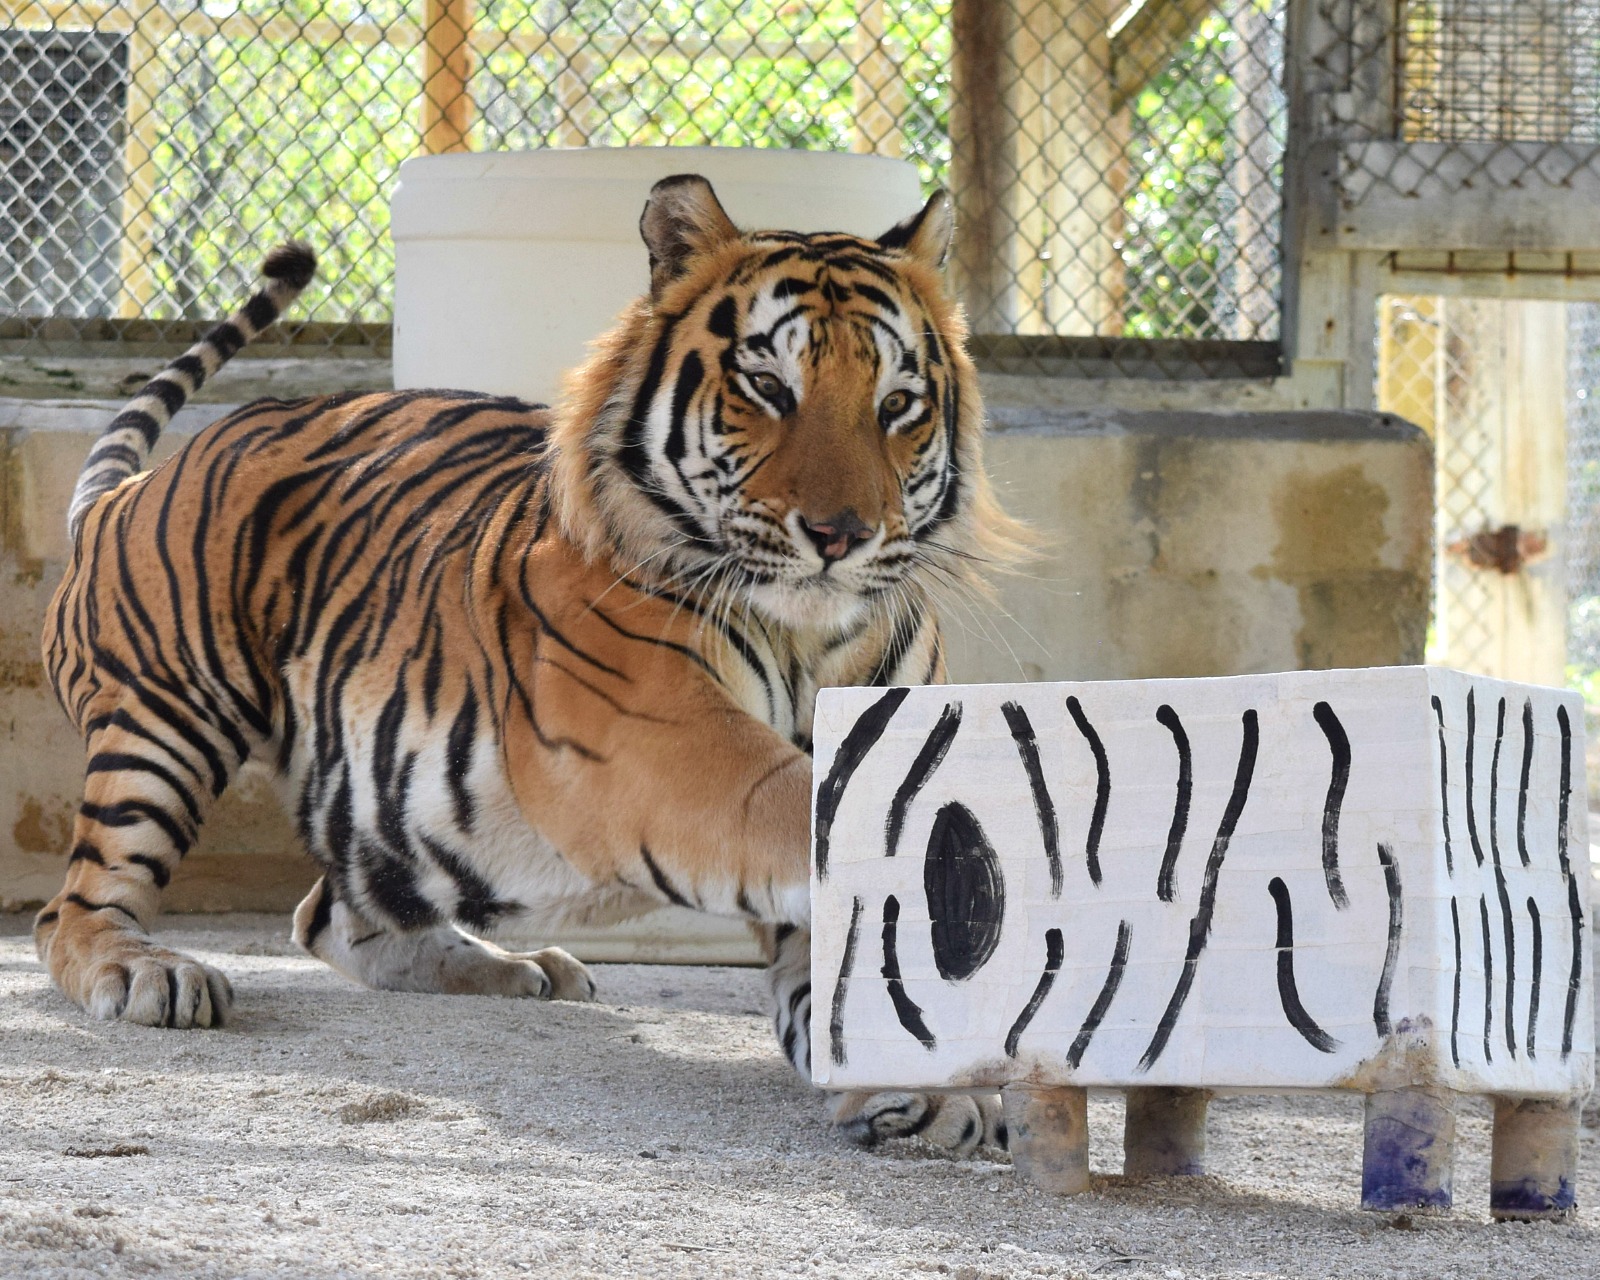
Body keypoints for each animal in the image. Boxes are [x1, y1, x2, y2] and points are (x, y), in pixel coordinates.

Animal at [34, 174, 1024, 1154]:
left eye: (898, 404)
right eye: (767, 385)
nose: (840, 535)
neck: (810, 638)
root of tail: (129, 487)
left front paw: (916, 1082)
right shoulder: (663, 742)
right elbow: (820, 826)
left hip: (395, 810)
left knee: (332, 913)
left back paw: (521, 969)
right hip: (164, 723)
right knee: (73, 907)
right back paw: (149, 974)